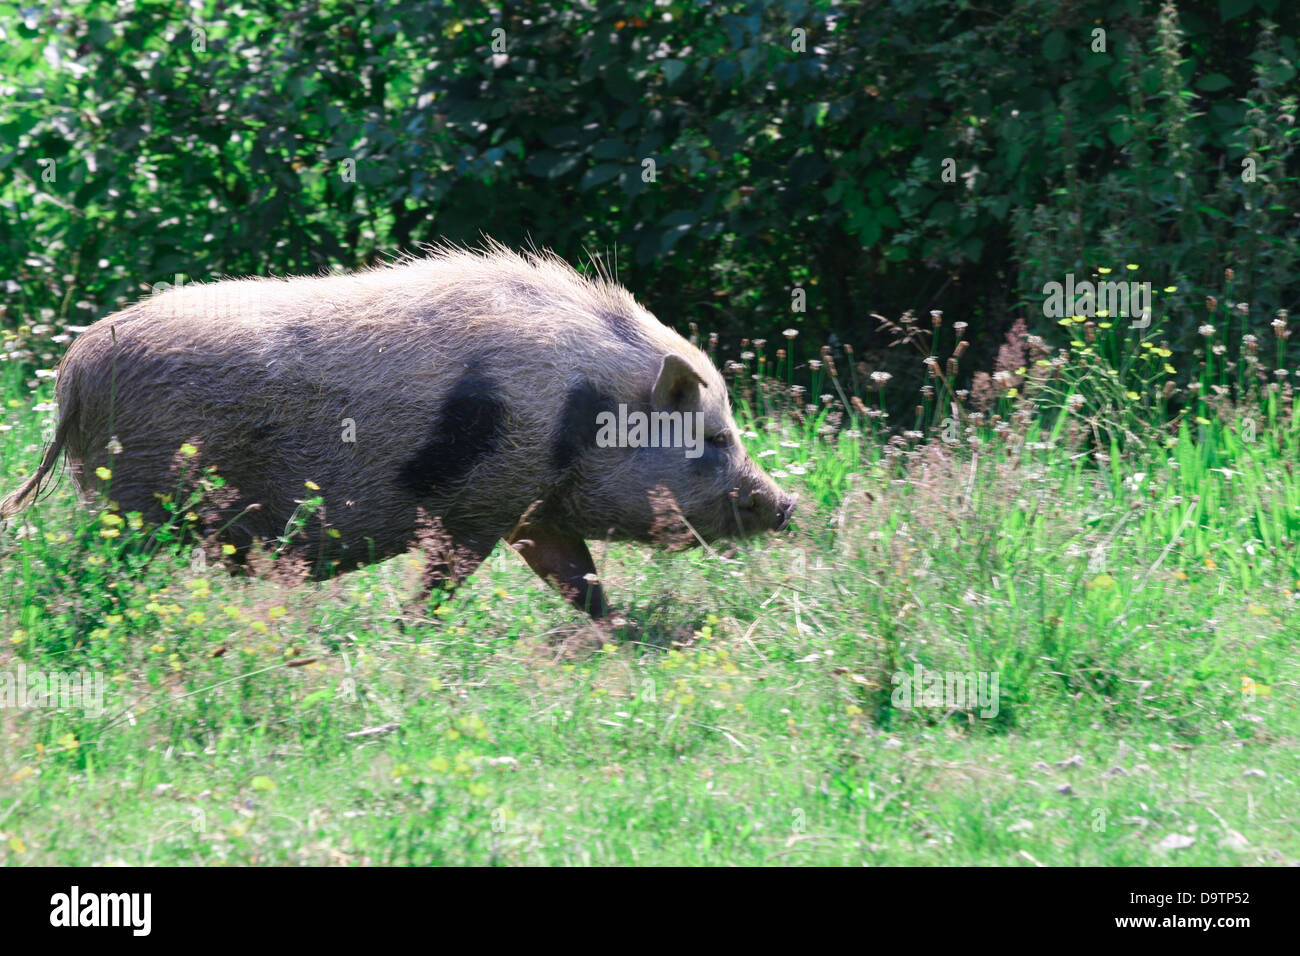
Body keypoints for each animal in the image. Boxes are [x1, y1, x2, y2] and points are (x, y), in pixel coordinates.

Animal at [0, 242, 796, 617]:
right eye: (713, 439)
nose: (787, 503)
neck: (583, 411)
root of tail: (74, 370)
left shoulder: (532, 509)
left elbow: (578, 576)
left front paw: (613, 634)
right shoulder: (480, 504)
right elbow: (449, 577)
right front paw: (411, 630)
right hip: (135, 501)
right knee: (94, 569)